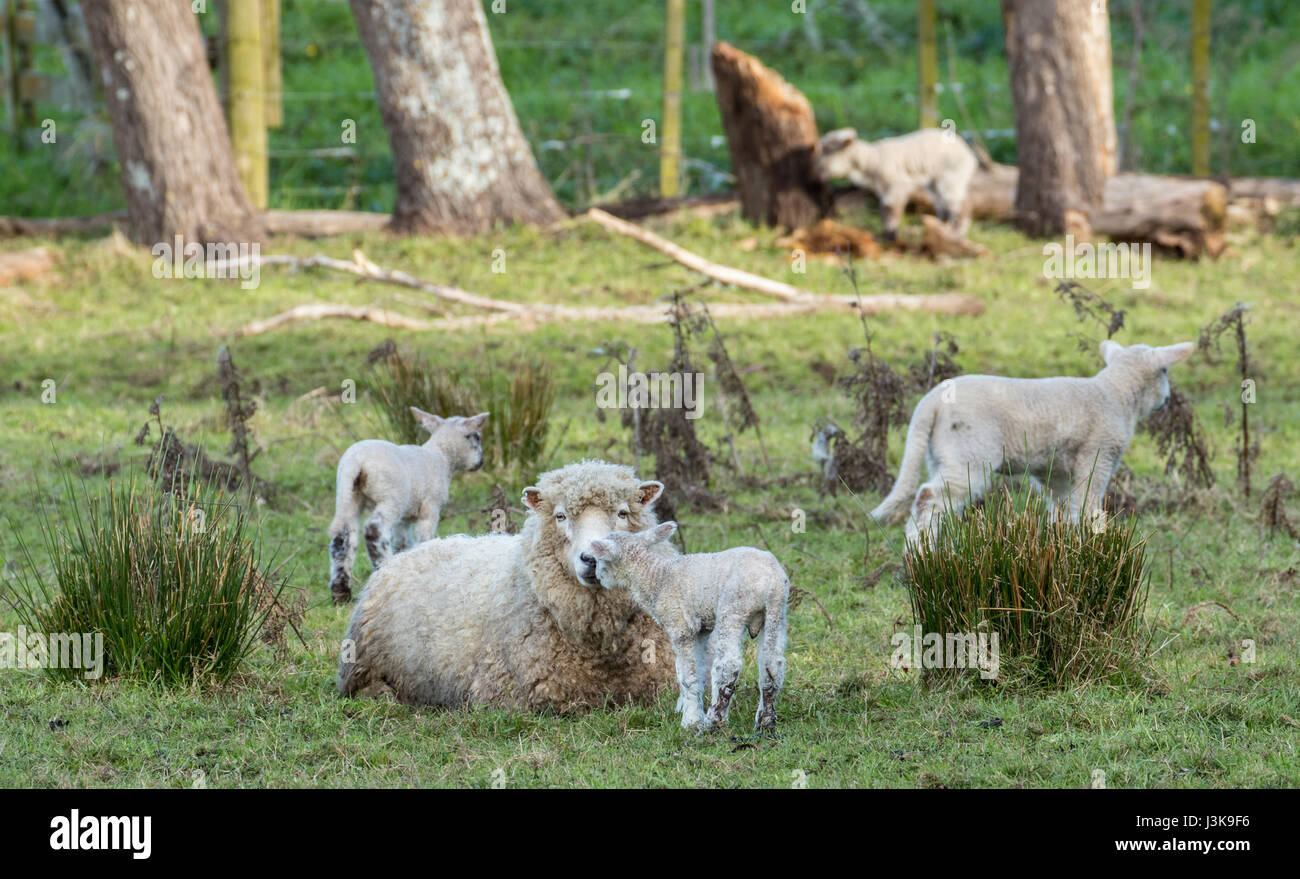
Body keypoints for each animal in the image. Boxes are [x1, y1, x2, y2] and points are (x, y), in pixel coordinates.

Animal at [327, 408, 488, 603]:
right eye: (477, 437)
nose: (481, 462)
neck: (441, 457)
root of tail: (356, 461)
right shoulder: (430, 507)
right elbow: (424, 538)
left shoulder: (404, 519)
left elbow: (403, 543)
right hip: (391, 496)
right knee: (374, 529)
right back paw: (382, 567)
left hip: (350, 497)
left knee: (343, 540)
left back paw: (341, 593)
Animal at [588, 522, 789, 734]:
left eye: (600, 559)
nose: (598, 576)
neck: (656, 578)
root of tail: (771, 580)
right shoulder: (700, 630)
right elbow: (697, 672)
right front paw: (690, 710)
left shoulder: (680, 626)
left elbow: (687, 676)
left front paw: (690, 722)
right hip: (777, 612)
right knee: (772, 664)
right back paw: (766, 722)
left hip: (735, 605)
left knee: (729, 665)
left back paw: (714, 722)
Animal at [813, 126, 978, 239]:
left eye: (827, 150)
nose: (816, 172)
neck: (872, 161)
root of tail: (969, 153)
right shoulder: (884, 188)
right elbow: (884, 209)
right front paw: (885, 233)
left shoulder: (896, 185)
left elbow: (891, 209)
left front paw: (889, 235)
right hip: (935, 182)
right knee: (944, 204)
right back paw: (941, 227)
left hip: (951, 176)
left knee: (960, 203)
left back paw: (957, 232)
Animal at [871, 340, 1196, 549]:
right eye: (1165, 372)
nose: (1167, 400)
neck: (1115, 394)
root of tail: (930, 402)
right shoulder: (1098, 456)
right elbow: (1087, 505)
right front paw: (1094, 541)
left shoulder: (1056, 472)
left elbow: (1063, 510)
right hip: (969, 455)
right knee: (928, 497)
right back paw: (920, 554)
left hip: (941, 454)